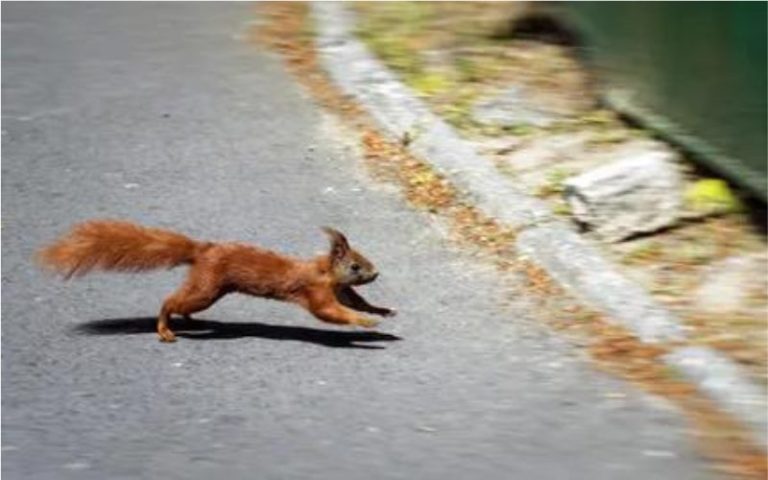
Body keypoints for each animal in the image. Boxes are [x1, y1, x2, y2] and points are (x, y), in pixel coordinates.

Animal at [38, 220, 395, 342]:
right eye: (355, 266)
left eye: (365, 261)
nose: (376, 273)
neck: (324, 272)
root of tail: (202, 250)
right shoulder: (316, 290)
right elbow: (331, 312)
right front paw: (366, 324)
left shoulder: (339, 290)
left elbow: (356, 302)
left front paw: (383, 311)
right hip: (208, 287)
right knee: (170, 301)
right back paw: (165, 328)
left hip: (210, 289)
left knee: (183, 303)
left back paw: (187, 320)